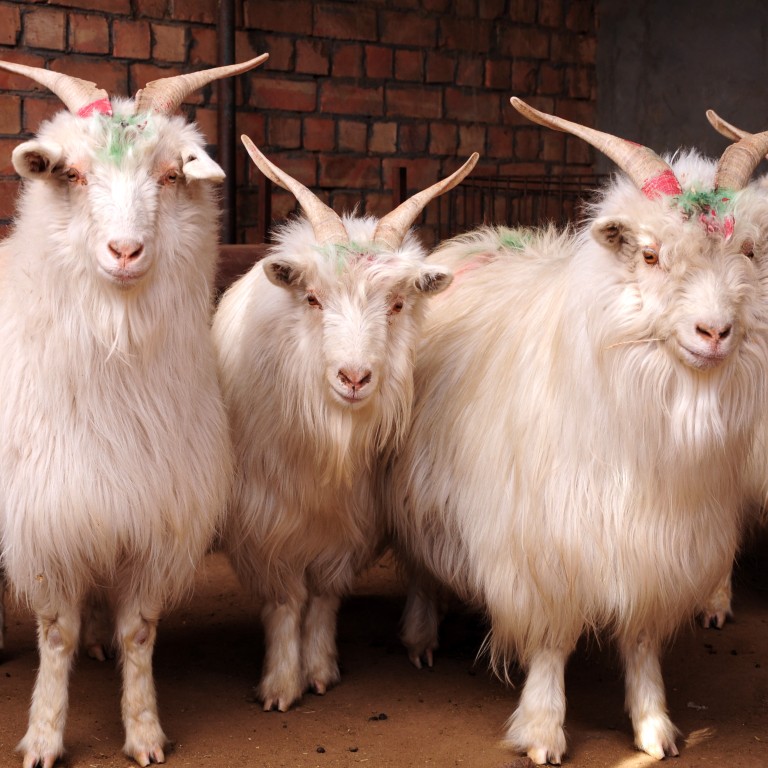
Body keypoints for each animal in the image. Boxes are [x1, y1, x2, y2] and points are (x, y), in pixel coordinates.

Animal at [0, 56, 266, 767]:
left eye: (171, 174)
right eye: (72, 174)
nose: (125, 252)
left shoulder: (149, 513)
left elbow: (139, 633)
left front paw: (145, 730)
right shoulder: (45, 518)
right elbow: (55, 635)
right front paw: (44, 735)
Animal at [212, 138, 477, 712]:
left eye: (397, 304)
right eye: (312, 298)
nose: (354, 377)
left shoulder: (352, 520)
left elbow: (324, 598)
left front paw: (320, 670)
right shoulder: (265, 521)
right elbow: (288, 601)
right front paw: (281, 686)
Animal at [383, 98, 768, 764]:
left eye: (747, 250)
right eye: (649, 254)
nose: (715, 332)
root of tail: (479, 239)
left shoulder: (657, 549)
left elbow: (640, 641)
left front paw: (653, 726)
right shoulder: (543, 543)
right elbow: (550, 643)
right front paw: (542, 729)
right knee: (421, 564)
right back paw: (422, 637)